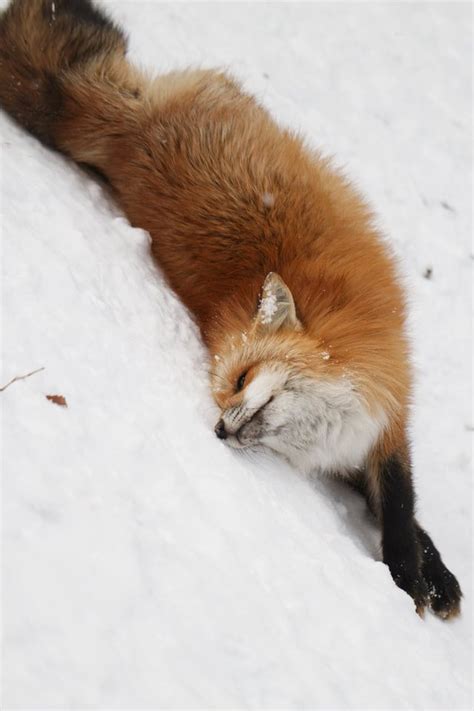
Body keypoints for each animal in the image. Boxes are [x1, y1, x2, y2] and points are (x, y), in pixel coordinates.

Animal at [0, 0, 462, 618]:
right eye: (223, 392)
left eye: (242, 379)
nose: (217, 429)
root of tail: (131, 133)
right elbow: (398, 509)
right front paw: (413, 577)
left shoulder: (386, 419)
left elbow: (402, 504)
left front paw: (424, 571)